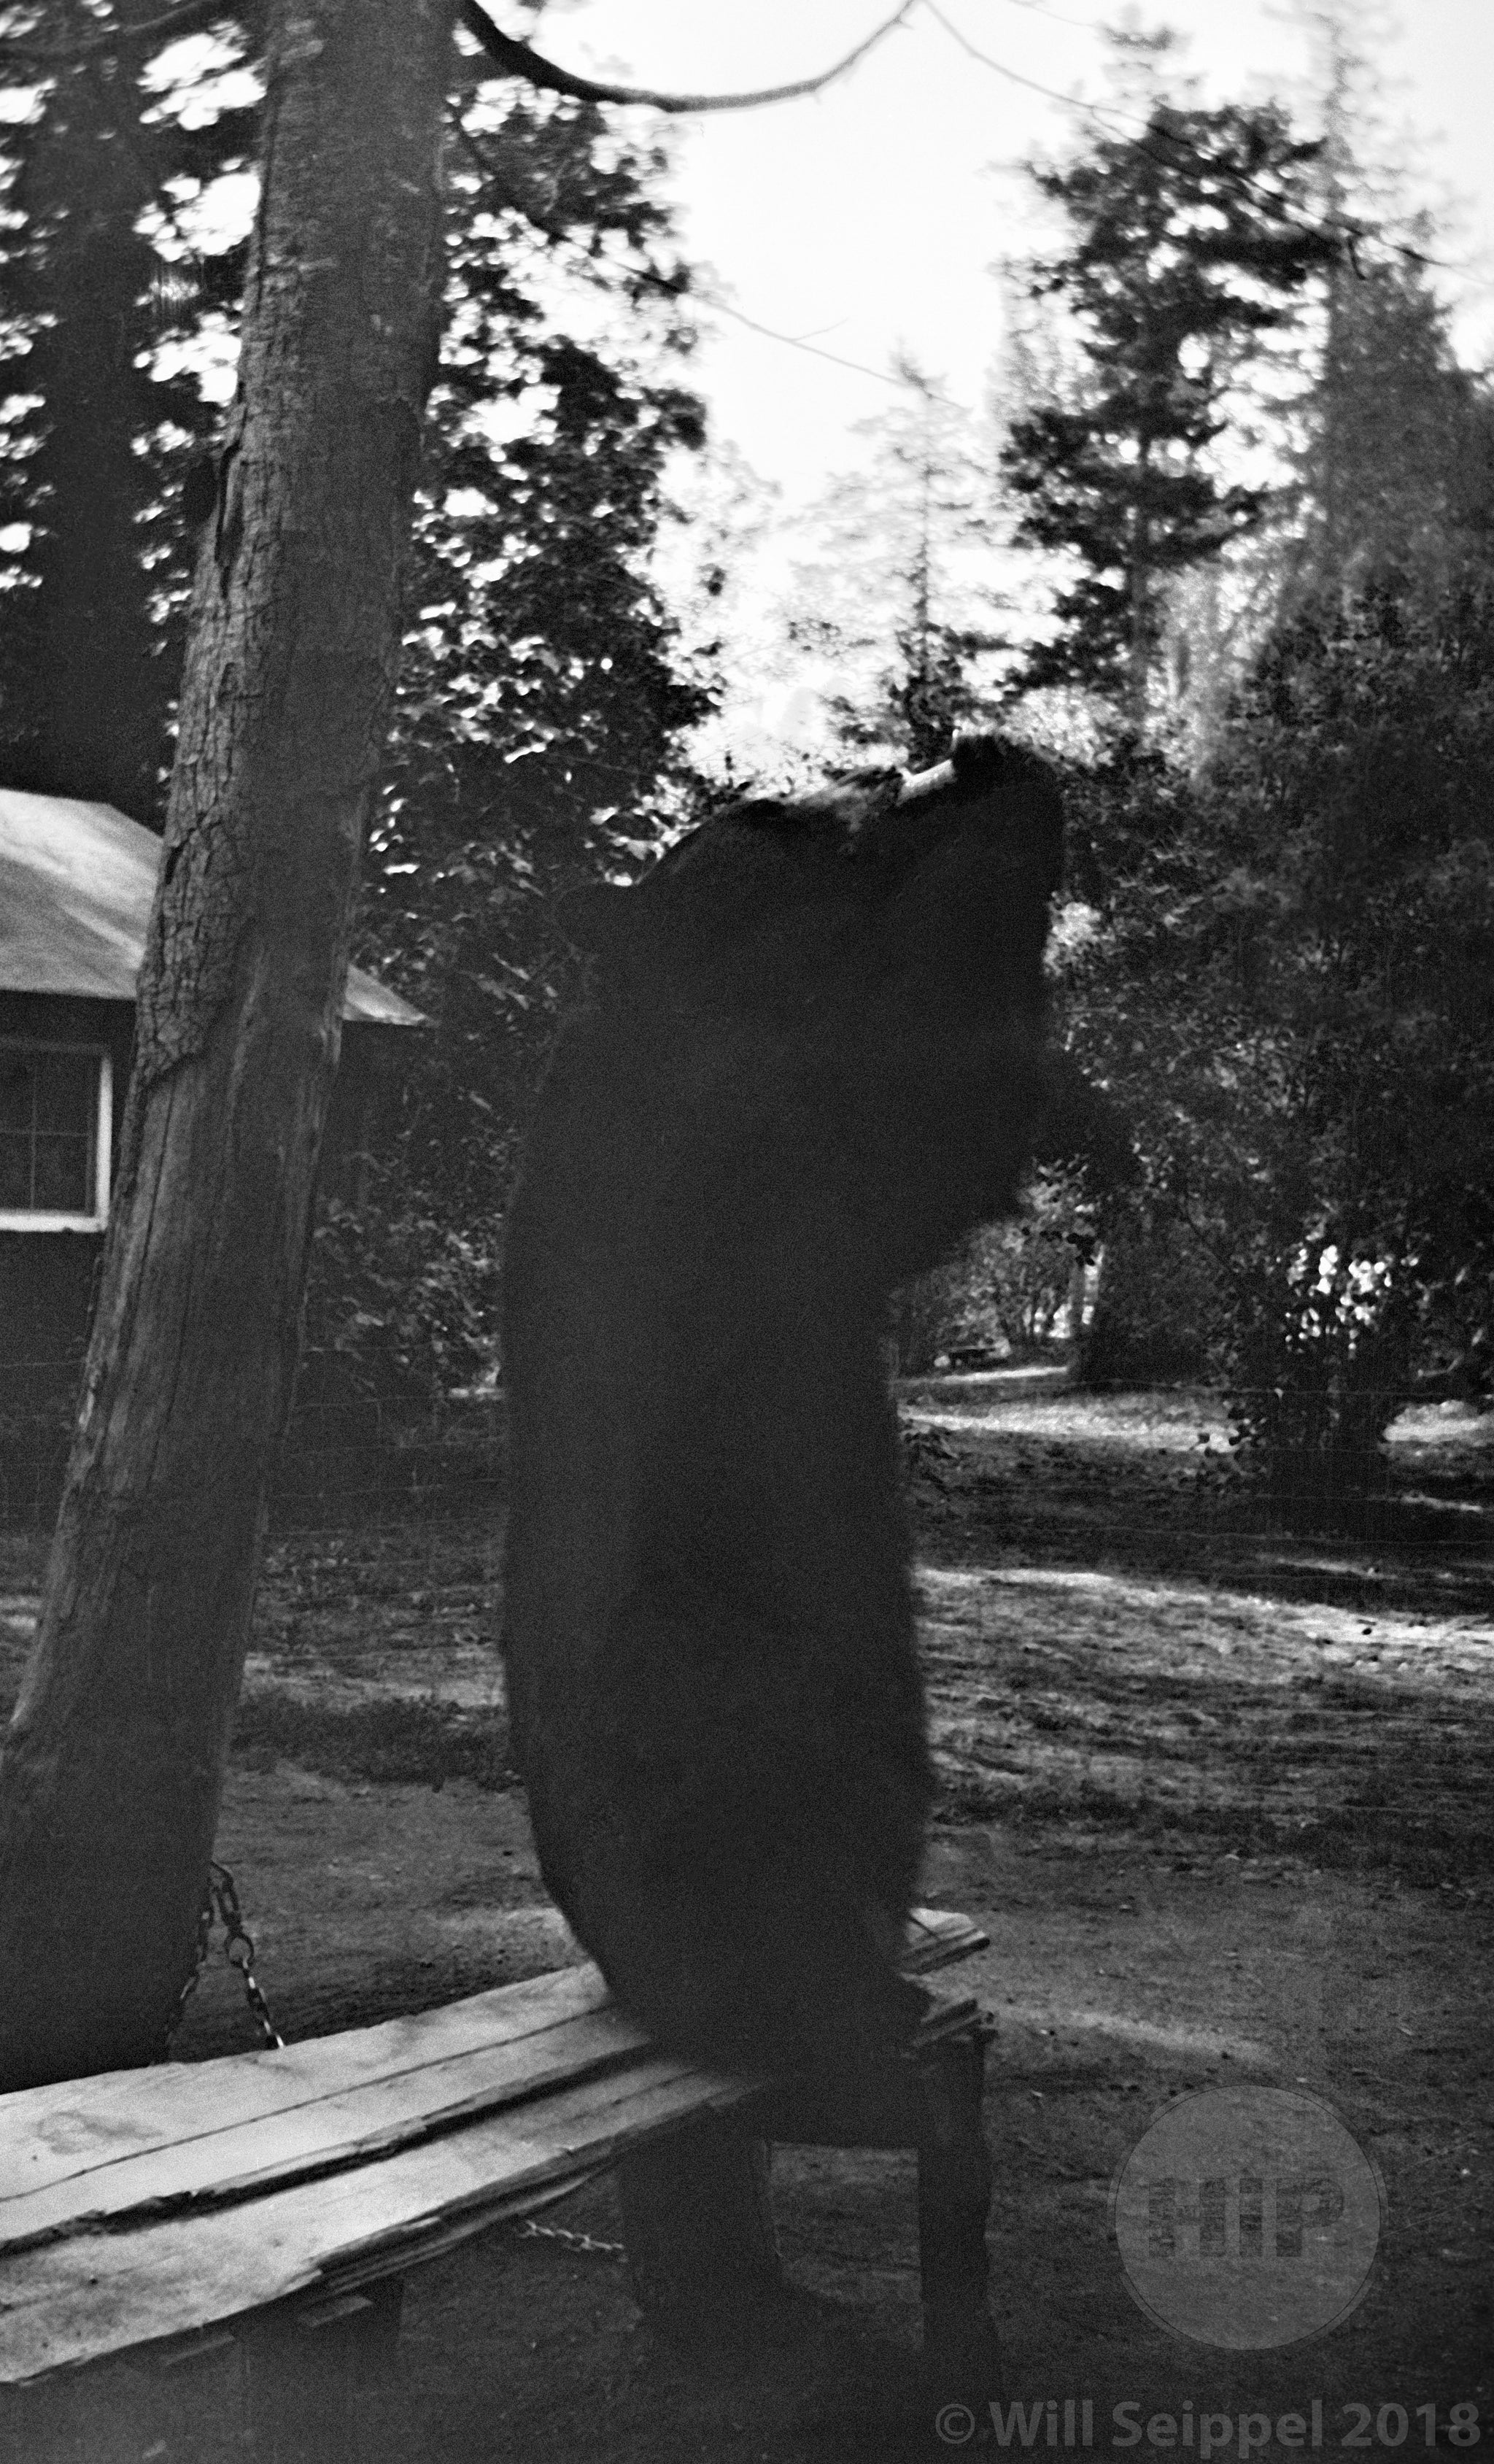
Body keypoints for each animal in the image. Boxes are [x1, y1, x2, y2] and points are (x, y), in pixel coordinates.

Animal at [501, 731, 1064, 2087]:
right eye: (764, 816)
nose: (866, 775)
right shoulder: (746, 1153)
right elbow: (926, 1118)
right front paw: (1003, 796)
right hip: (698, 1670)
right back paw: (835, 2007)